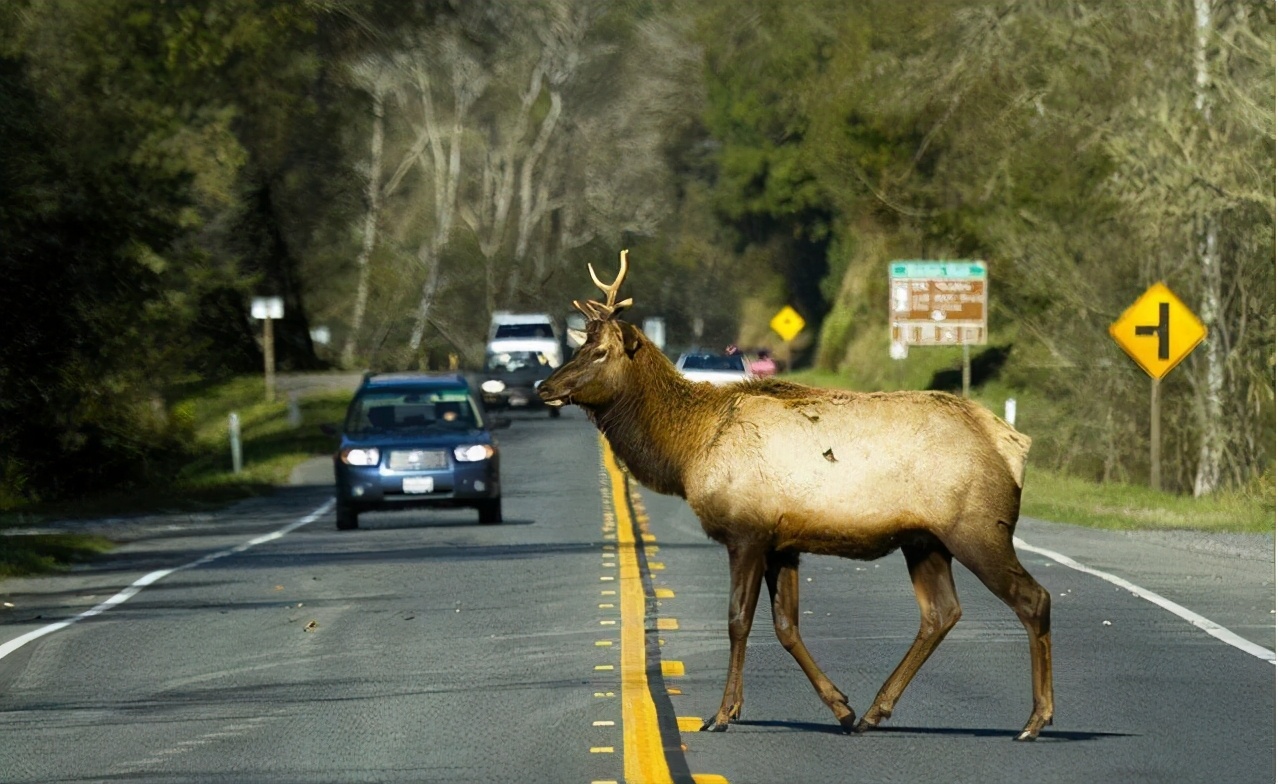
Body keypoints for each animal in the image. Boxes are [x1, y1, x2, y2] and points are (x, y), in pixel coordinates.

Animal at [538, 250, 1053, 741]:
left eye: (601, 351)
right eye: (580, 344)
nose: (546, 386)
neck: (687, 451)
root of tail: (1014, 445)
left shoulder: (746, 532)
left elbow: (738, 620)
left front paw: (721, 714)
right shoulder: (782, 543)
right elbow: (786, 627)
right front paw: (840, 707)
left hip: (978, 528)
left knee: (1033, 598)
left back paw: (1035, 720)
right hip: (924, 540)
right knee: (941, 613)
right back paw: (874, 711)